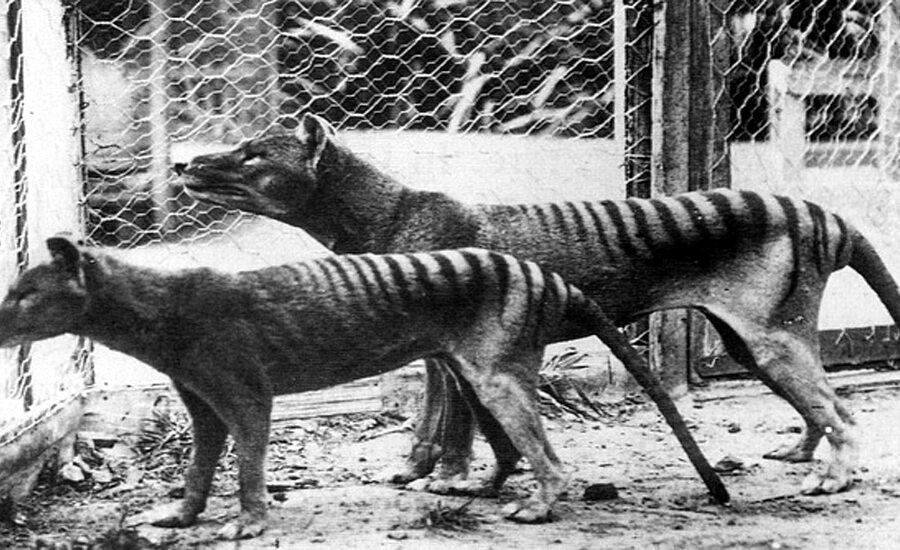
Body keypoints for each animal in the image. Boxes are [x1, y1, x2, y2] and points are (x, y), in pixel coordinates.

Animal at [0, 236, 727, 540]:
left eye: (25, 293)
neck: (161, 306)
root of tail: (544, 275)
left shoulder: (243, 392)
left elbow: (248, 465)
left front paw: (250, 522)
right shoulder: (200, 401)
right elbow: (199, 465)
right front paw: (181, 515)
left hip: (495, 374)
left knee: (550, 458)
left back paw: (540, 506)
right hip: (473, 371)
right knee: (511, 448)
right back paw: (481, 489)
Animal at [178, 113, 900, 496]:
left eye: (252, 154)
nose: (184, 164)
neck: (393, 213)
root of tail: (824, 216)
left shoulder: (452, 350)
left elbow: (453, 426)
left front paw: (448, 478)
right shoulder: (434, 351)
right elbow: (428, 423)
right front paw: (413, 469)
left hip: (771, 337)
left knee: (841, 408)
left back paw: (834, 477)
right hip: (743, 343)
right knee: (820, 404)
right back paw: (805, 453)